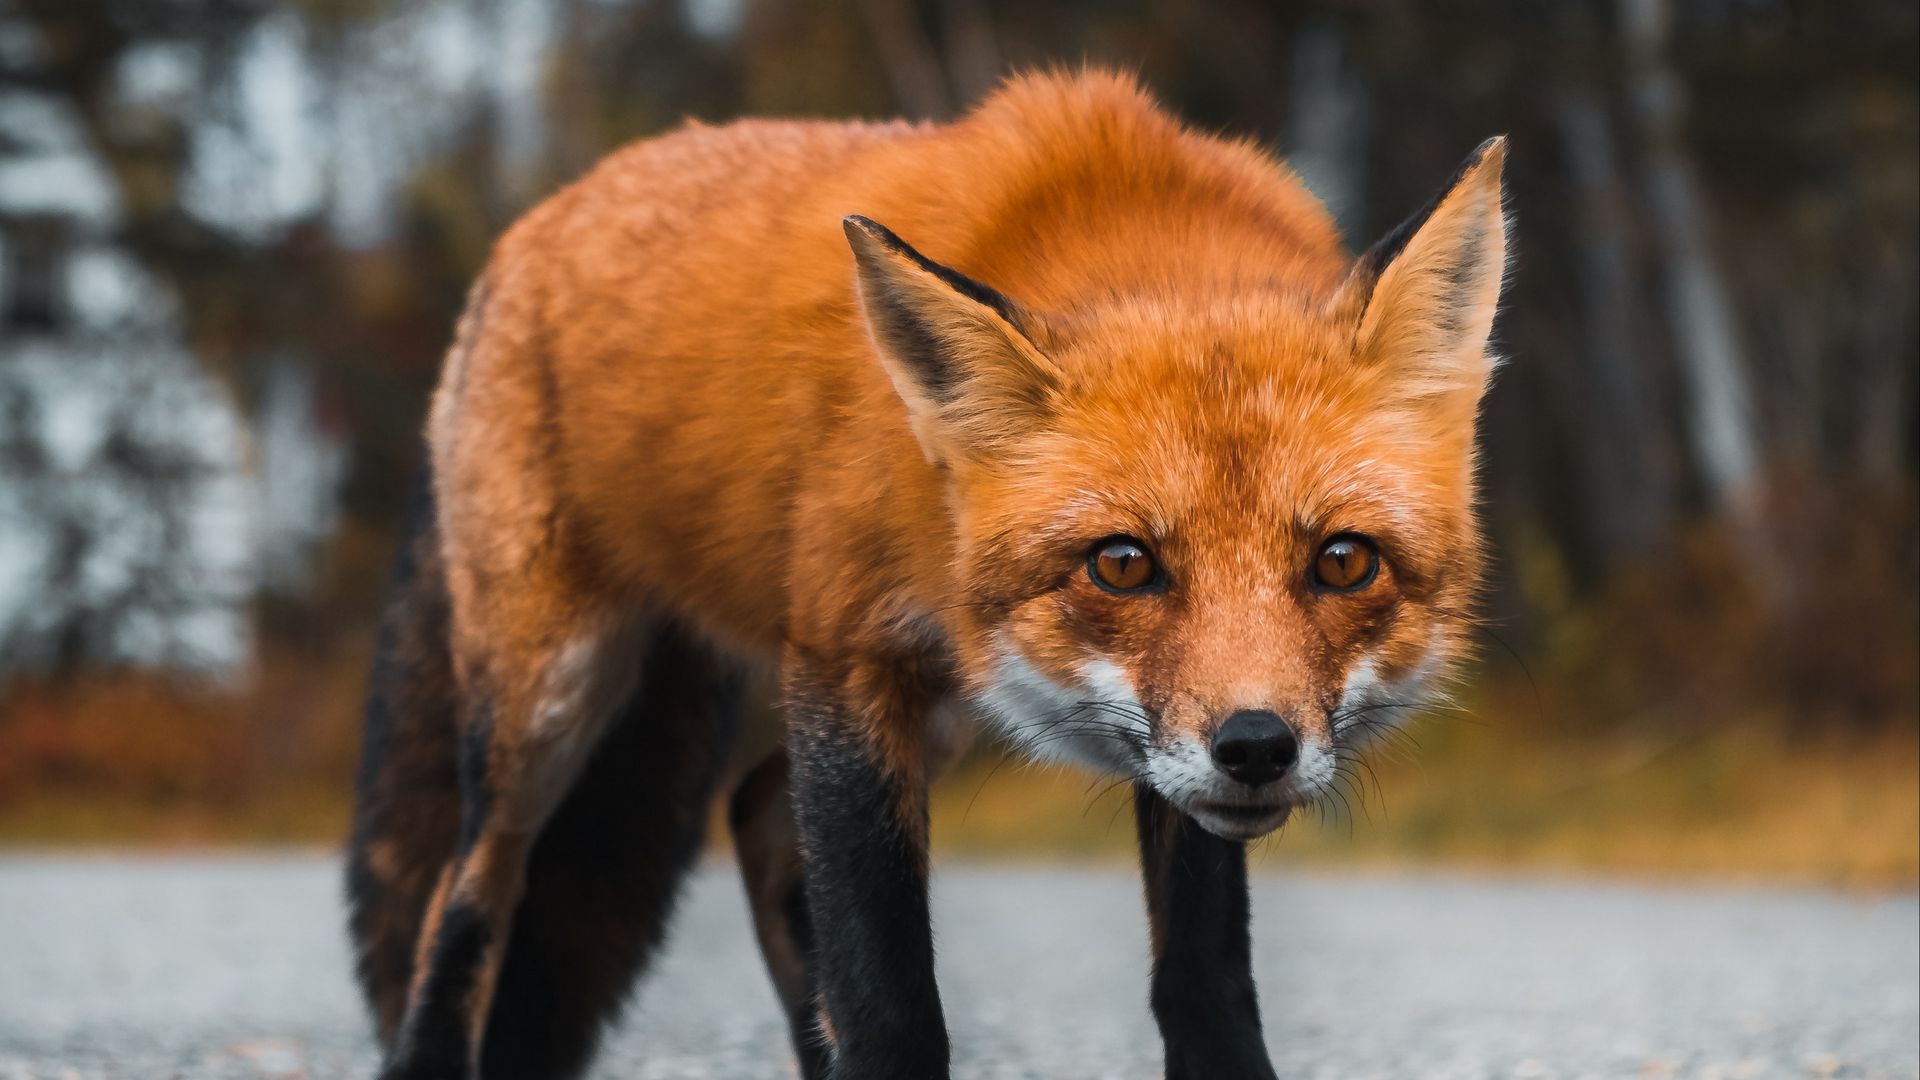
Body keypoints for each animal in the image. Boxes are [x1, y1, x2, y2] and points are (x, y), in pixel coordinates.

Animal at [346, 68, 1509, 1080]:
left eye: (1342, 562)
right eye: (1124, 564)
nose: (1258, 748)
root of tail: (531, 225)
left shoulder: (1161, 764)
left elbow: (1203, 980)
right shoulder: (843, 655)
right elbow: (886, 990)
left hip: (941, 706)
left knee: (755, 818)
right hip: (551, 699)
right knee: (471, 891)